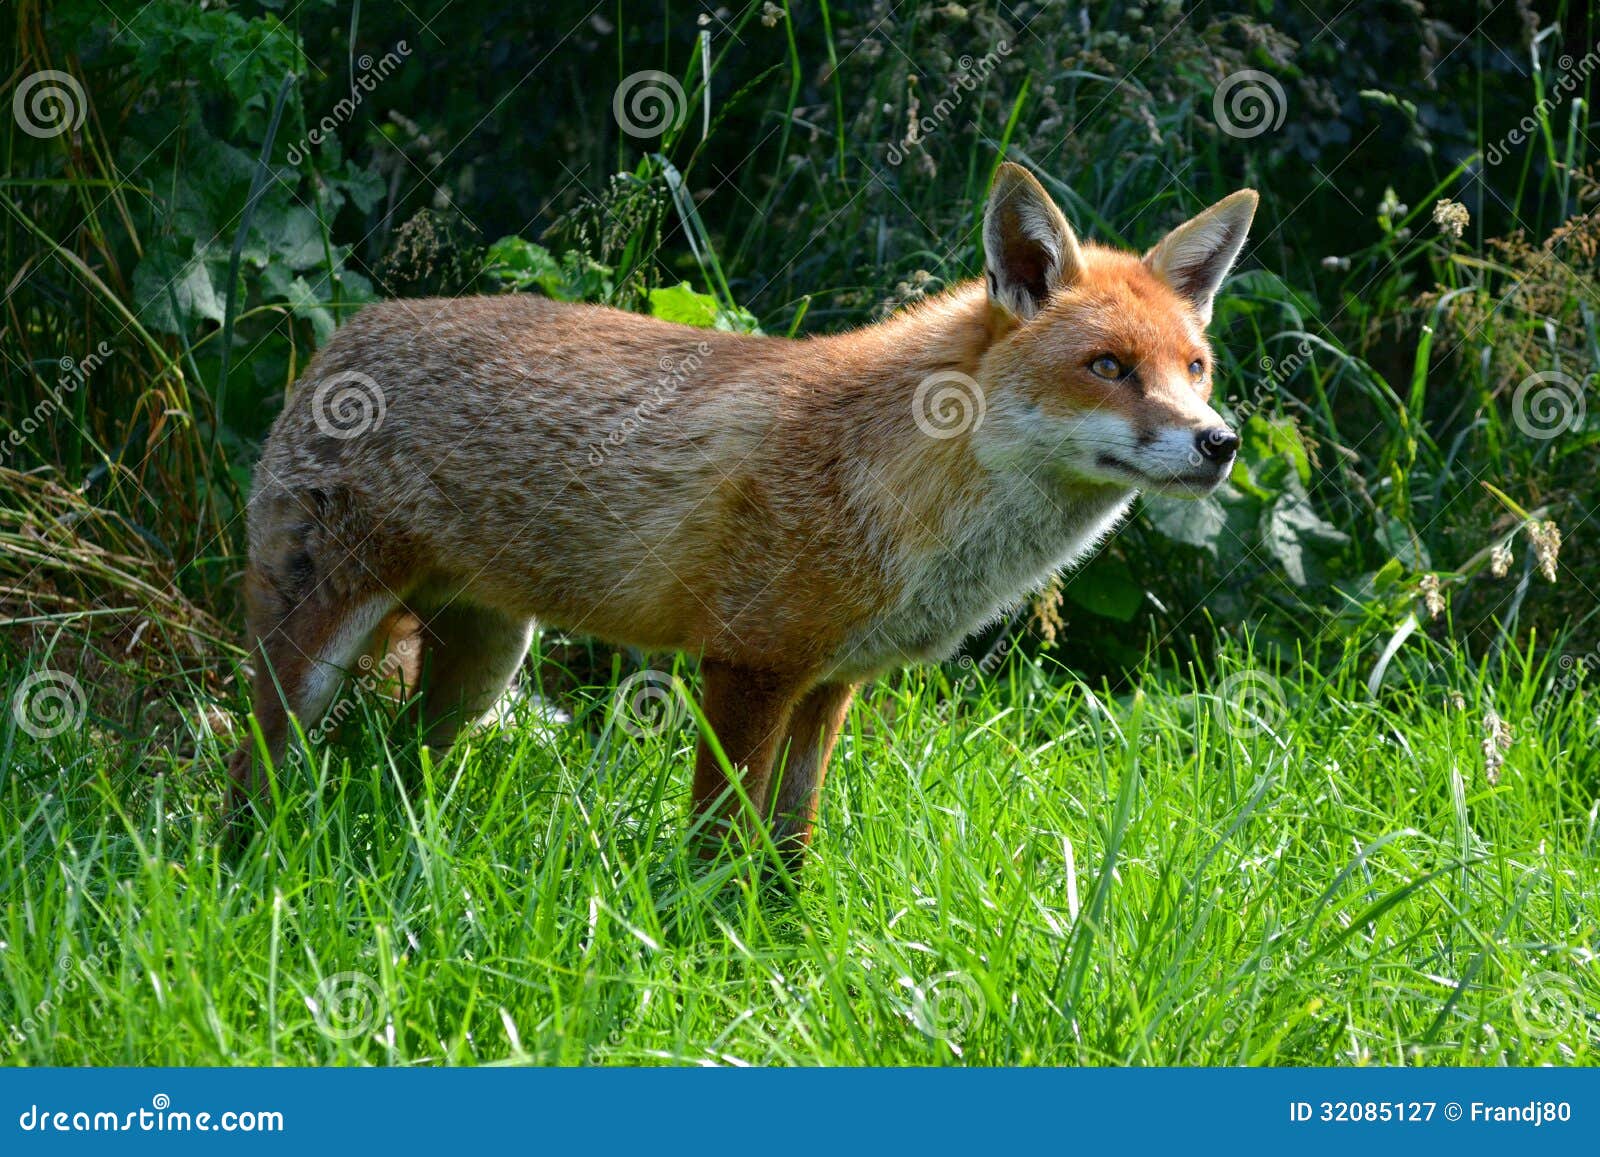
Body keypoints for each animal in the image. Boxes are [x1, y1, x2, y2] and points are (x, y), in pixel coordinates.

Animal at [228, 162, 1257, 867]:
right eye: (1108, 367)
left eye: (1195, 367)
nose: (1220, 441)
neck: (900, 487)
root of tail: (345, 335)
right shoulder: (749, 668)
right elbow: (719, 842)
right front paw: (706, 950)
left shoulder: (830, 685)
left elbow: (791, 850)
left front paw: (784, 949)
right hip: (316, 654)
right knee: (254, 769)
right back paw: (251, 870)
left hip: (480, 670)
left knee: (400, 766)